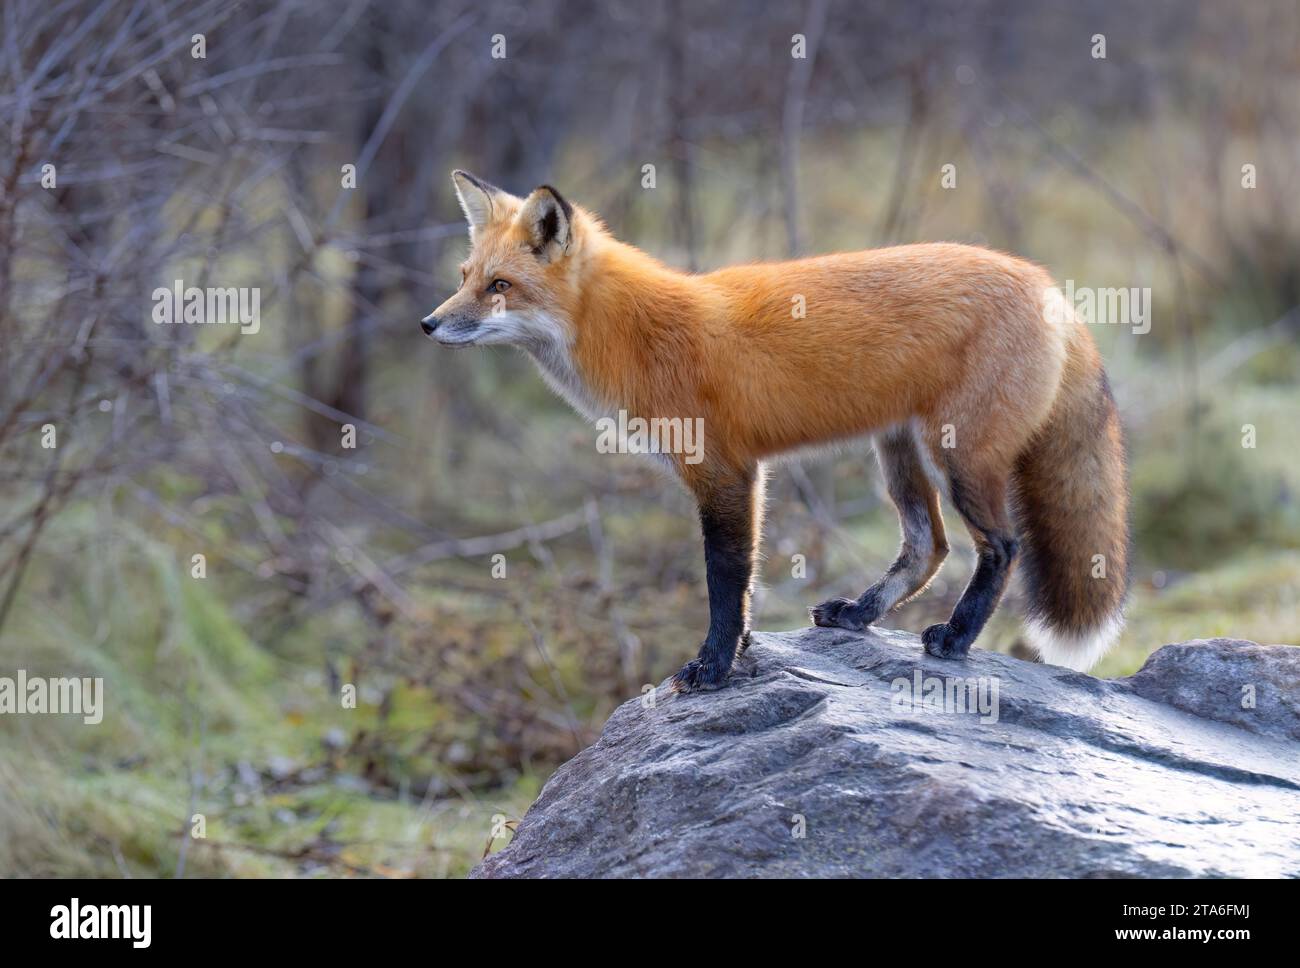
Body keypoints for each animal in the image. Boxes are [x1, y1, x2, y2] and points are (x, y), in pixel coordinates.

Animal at [422, 169, 1129, 693]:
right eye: (464, 279)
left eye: (500, 286)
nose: (427, 325)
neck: (639, 338)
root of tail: (1049, 285)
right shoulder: (744, 475)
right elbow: (745, 588)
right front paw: (734, 656)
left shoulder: (725, 471)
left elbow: (726, 580)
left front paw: (712, 667)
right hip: (899, 453)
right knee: (928, 547)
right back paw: (858, 614)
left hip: (958, 457)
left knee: (1003, 547)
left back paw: (955, 639)